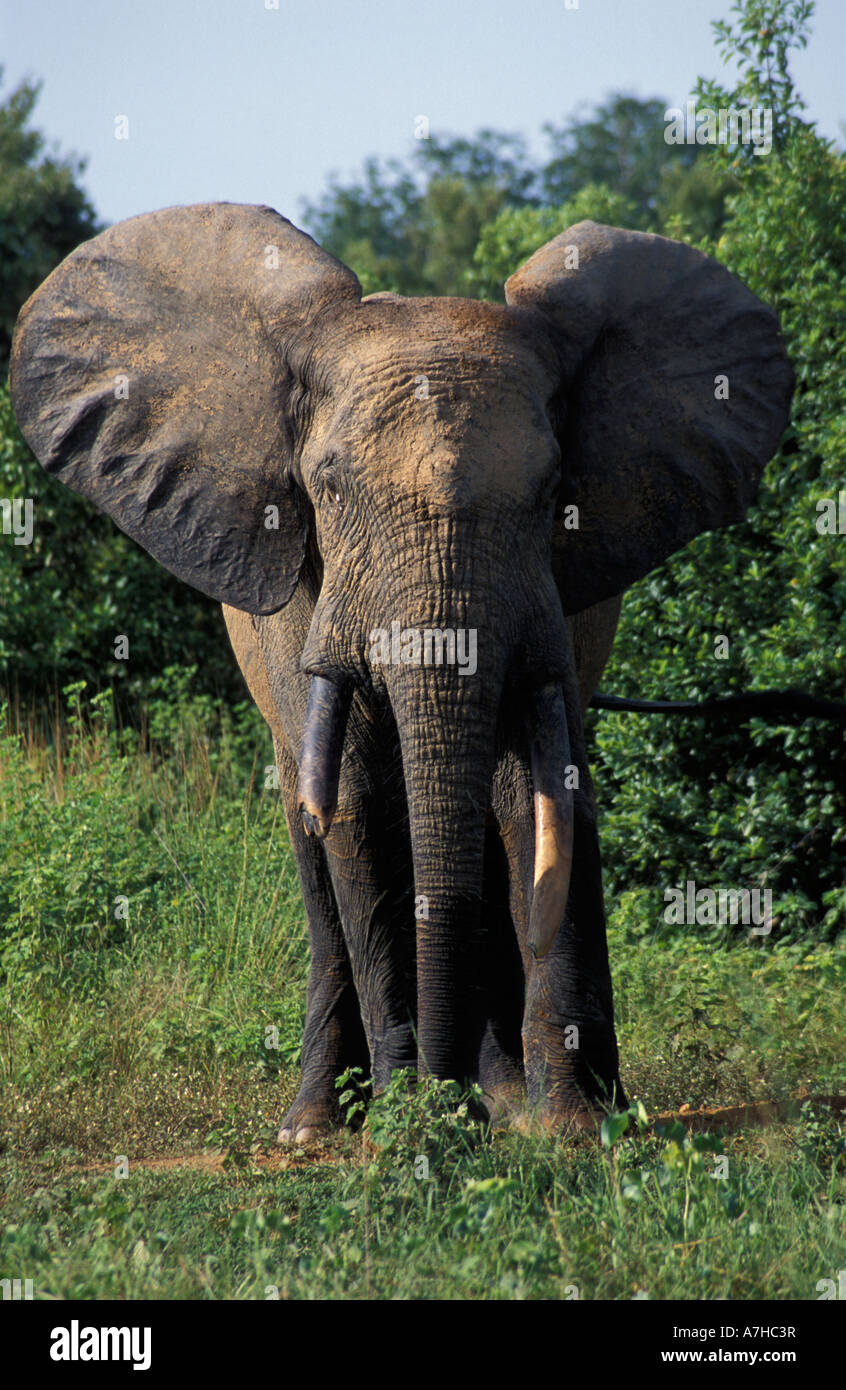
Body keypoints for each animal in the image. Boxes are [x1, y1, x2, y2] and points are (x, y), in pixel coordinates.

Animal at [9, 204, 794, 1140]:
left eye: (551, 493)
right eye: (329, 488)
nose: (446, 1097)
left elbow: (534, 791)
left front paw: (565, 1125)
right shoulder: (308, 592)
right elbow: (356, 807)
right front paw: (410, 1123)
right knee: (313, 832)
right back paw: (319, 1121)